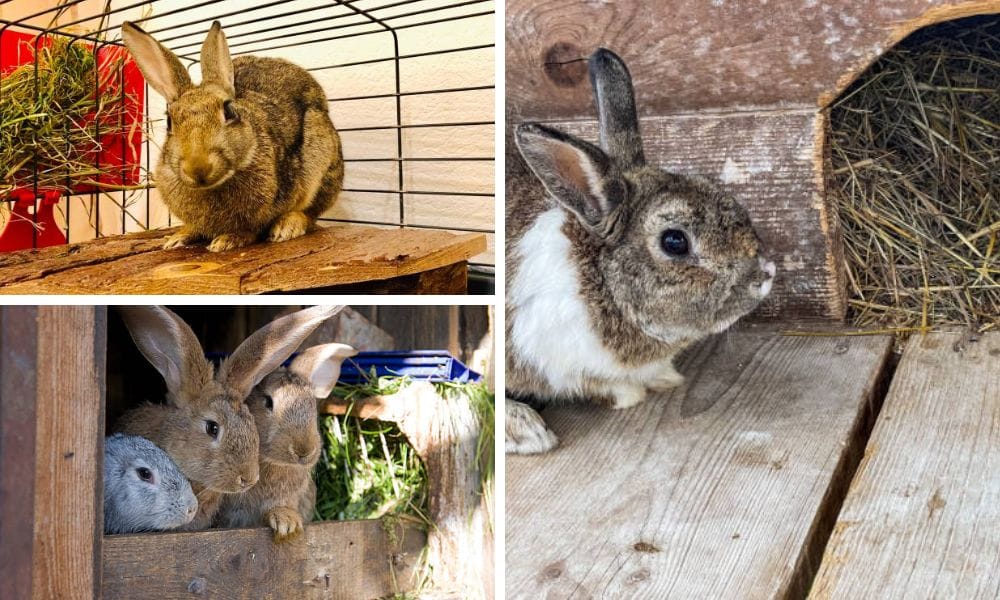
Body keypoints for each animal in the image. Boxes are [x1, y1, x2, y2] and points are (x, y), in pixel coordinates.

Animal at [121, 21, 343, 252]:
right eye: (169, 122)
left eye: (228, 111)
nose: (197, 168)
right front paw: (177, 238)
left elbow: (250, 230)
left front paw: (226, 241)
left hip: (321, 157)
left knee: (310, 213)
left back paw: (287, 227)